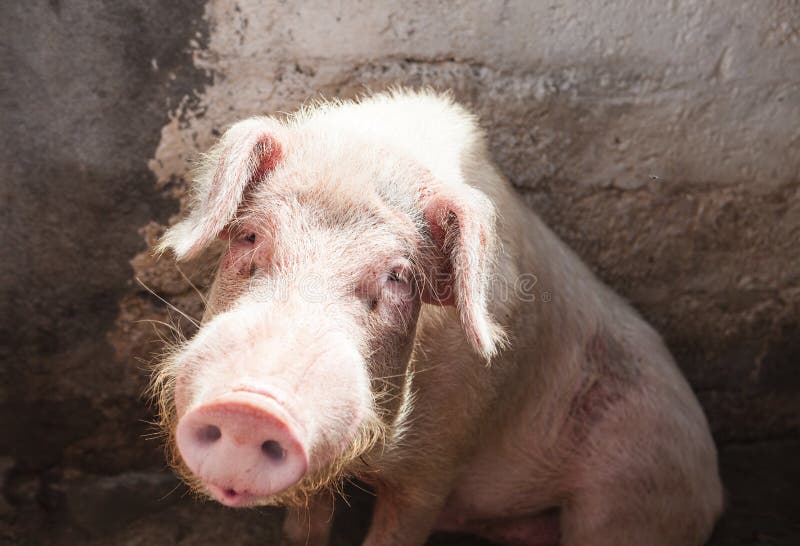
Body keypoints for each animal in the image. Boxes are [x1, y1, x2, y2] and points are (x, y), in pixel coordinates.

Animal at [152, 89, 723, 546]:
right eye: (250, 236)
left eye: (398, 277)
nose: (250, 407)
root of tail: (714, 486)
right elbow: (306, 527)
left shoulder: (438, 459)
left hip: (631, 494)